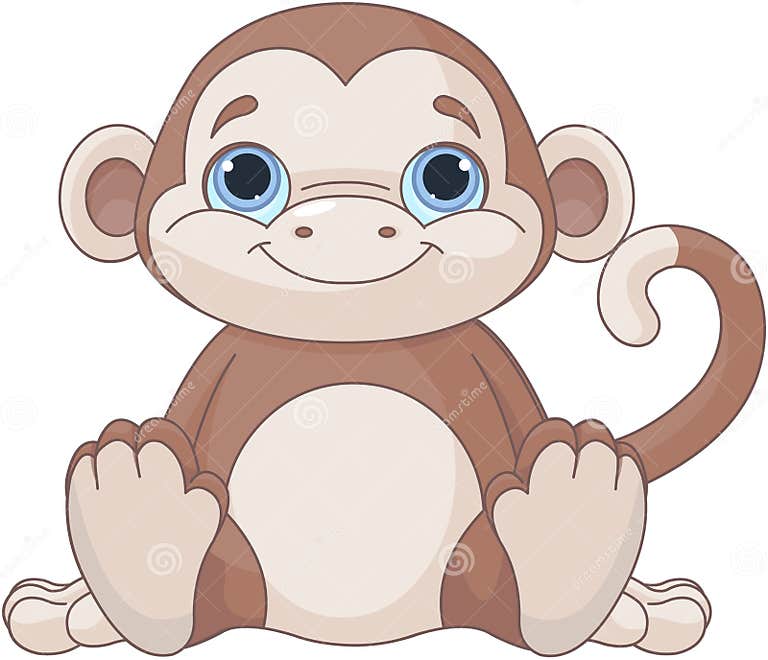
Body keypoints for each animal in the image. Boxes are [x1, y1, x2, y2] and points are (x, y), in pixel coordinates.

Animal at [4, 3, 764, 657]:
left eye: (448, 175)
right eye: (245, 176)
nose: (346, 220)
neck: (352, 345)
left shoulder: (486, 367)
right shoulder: (220, 371)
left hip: (473, 571)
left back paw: (574, 531)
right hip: (236, 574)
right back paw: (135, 534)